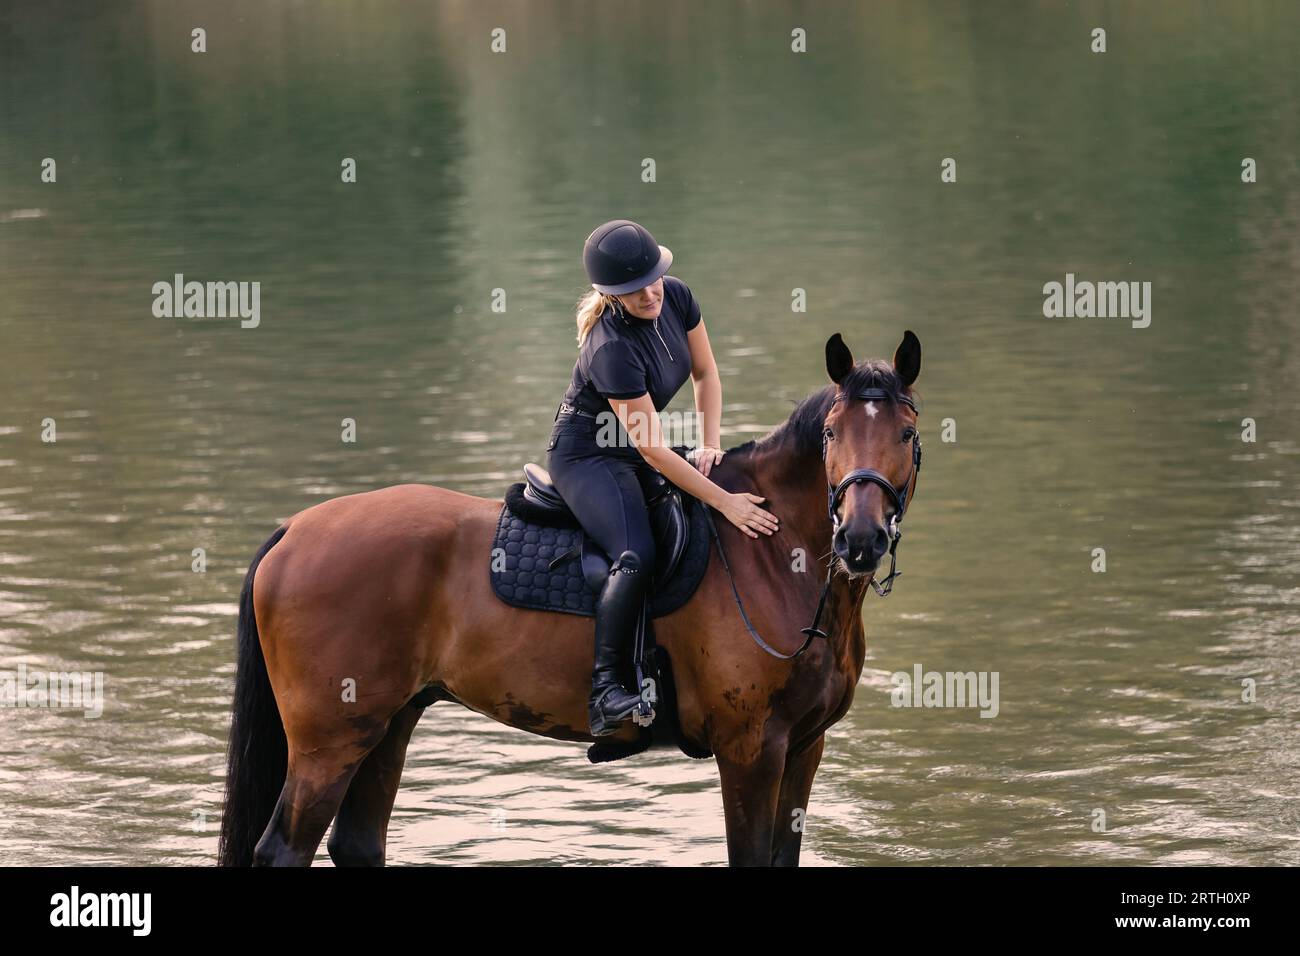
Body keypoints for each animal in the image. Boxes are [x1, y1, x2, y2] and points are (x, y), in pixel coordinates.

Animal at [217, 330, 924, 867]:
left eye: (908, 435)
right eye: (830, 434)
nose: (860, 540)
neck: (776, 555)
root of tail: (295, 529)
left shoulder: (804, 747)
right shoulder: (751, 750)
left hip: (388, 724)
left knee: (359, 844)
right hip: (329, 743)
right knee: (282, 850)